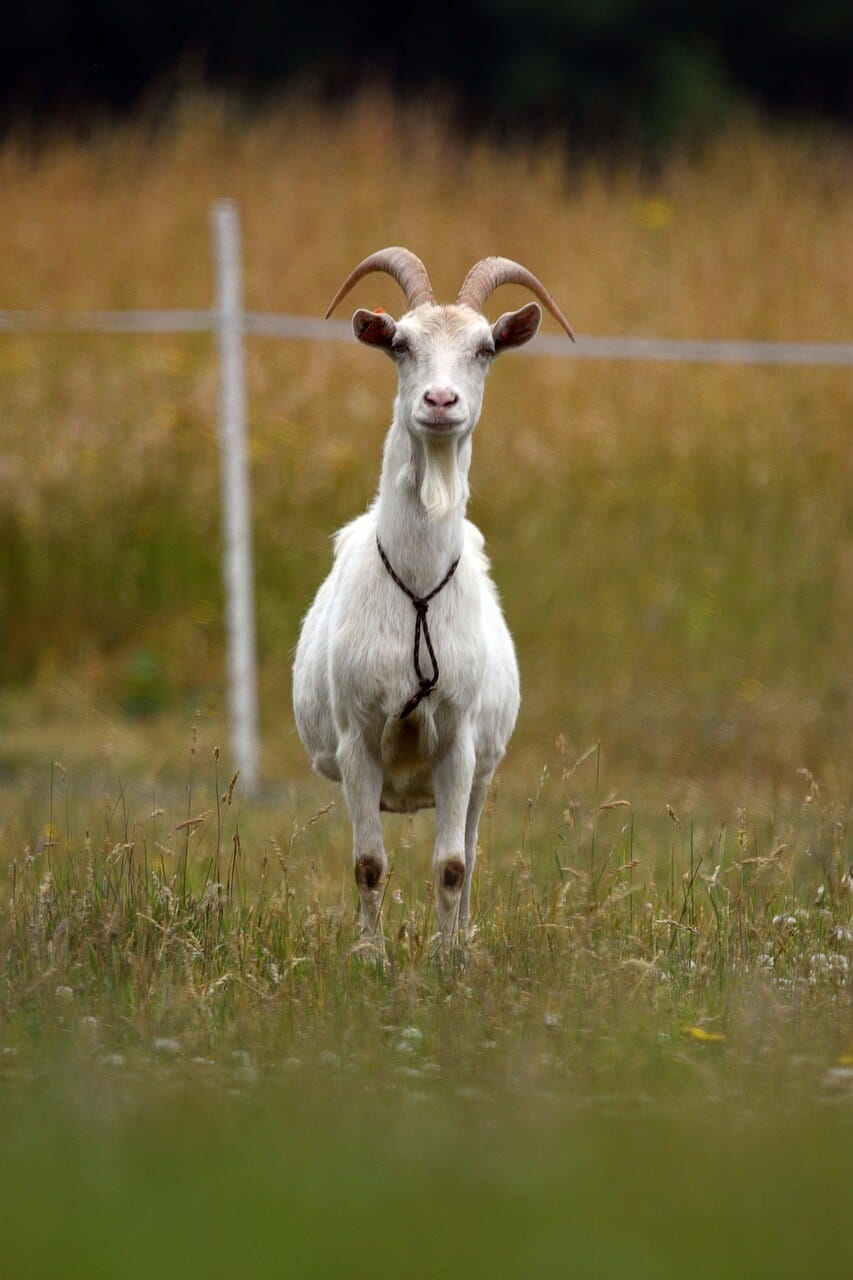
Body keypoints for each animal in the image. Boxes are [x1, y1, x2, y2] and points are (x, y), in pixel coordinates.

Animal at [292, 248, 573, 940]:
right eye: (399, 343)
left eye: (485, 348)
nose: (441, 400)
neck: (416, 588)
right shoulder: (356, 738)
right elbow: (368, 865)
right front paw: (370, 955)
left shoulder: (460, 744)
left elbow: (451, 867)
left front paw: (448, 956)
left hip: (481, 776)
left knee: (469, 851)